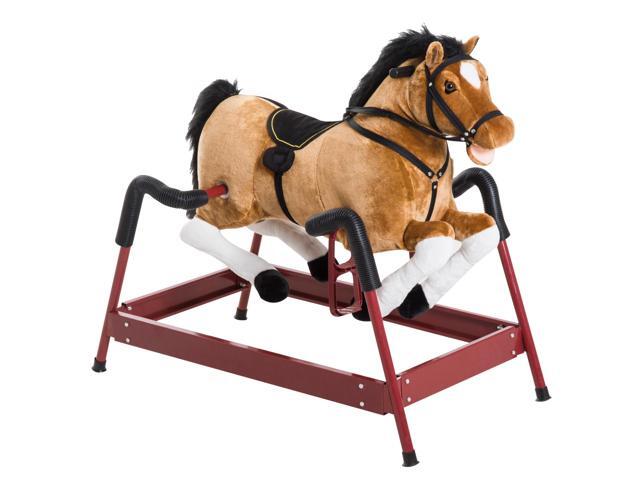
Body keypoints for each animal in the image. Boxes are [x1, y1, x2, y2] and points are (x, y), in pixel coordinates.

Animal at [180, 26, 514, 319]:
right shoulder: (381, 232)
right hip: (231, 201)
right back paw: (269, 279)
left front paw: (417, 299)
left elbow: (488, 230)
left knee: (269, 224)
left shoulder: (444, 213)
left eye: (485, 77)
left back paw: (318, 263)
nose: (502, 131)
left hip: (264, 203)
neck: (395, 143)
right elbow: (439, 242)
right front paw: (382, 301)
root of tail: (230, 98)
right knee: (194, 230)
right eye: (449, 86)